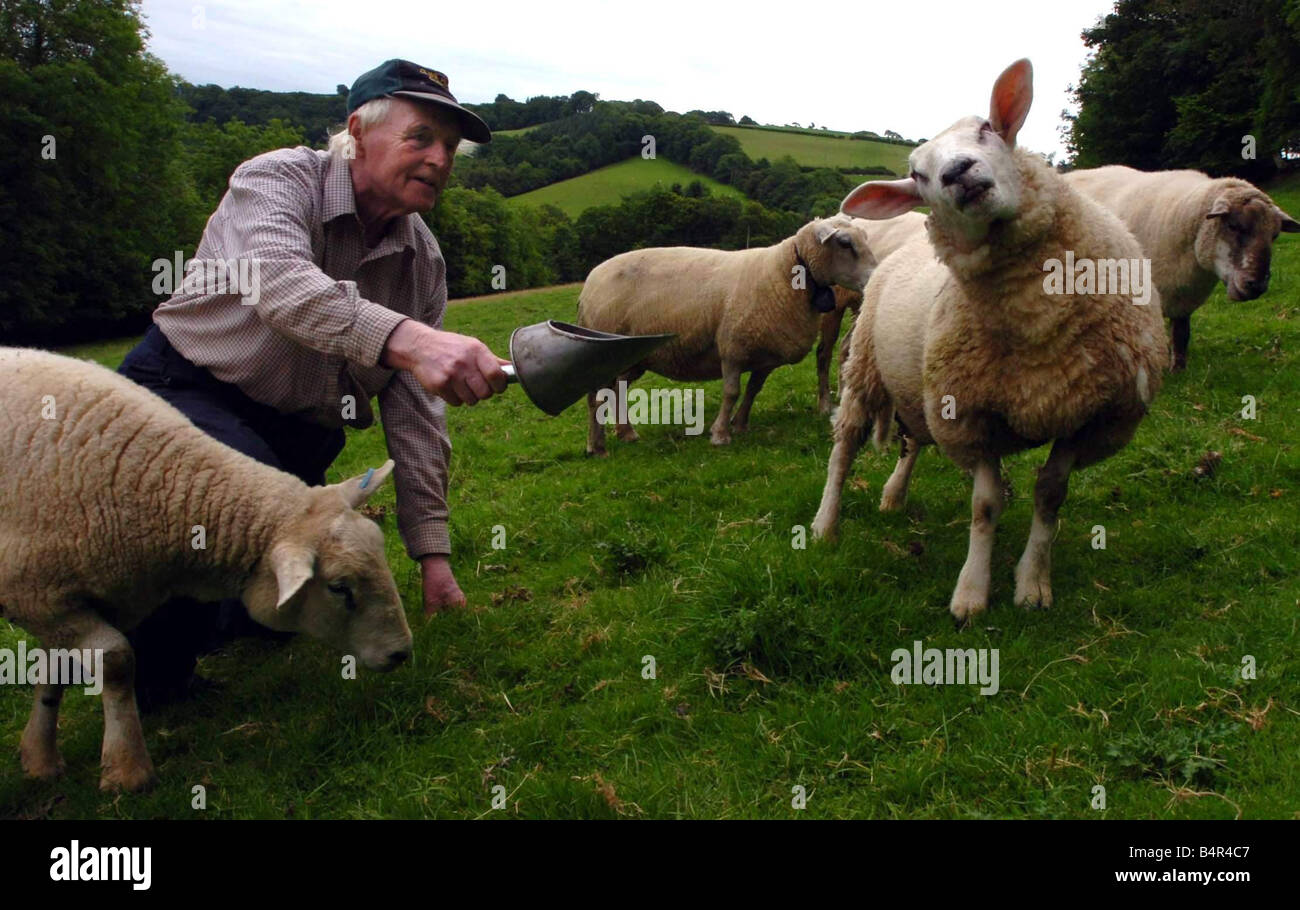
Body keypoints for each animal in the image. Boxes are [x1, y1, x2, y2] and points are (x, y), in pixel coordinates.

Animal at [0, 347, 414, 791]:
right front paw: (127, 769)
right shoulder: (40, 596)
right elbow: (116, 661)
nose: (401, 652)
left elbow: (53, 671)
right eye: (339, 587)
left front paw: (39, 758)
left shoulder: (64, 602)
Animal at [577, 215, 876, 452]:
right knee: (596, 398)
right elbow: (732, 391)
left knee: (617, 390)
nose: (875, 278)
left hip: (633, 358)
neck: (784, 273)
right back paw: (596, 446)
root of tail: (589, 282)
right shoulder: (733, 347)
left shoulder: (765, 355)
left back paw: (626, 432)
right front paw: (720, 433)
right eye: (845, 243)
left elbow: (753, 390)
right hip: (603, 353)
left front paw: (740, 424)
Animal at [1065, 165, 1298, 370]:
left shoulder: (1183, 296)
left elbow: (1182, 334)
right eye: (1233, 226)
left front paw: (1178, 368)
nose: (1257, 286)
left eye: (1274, 235)